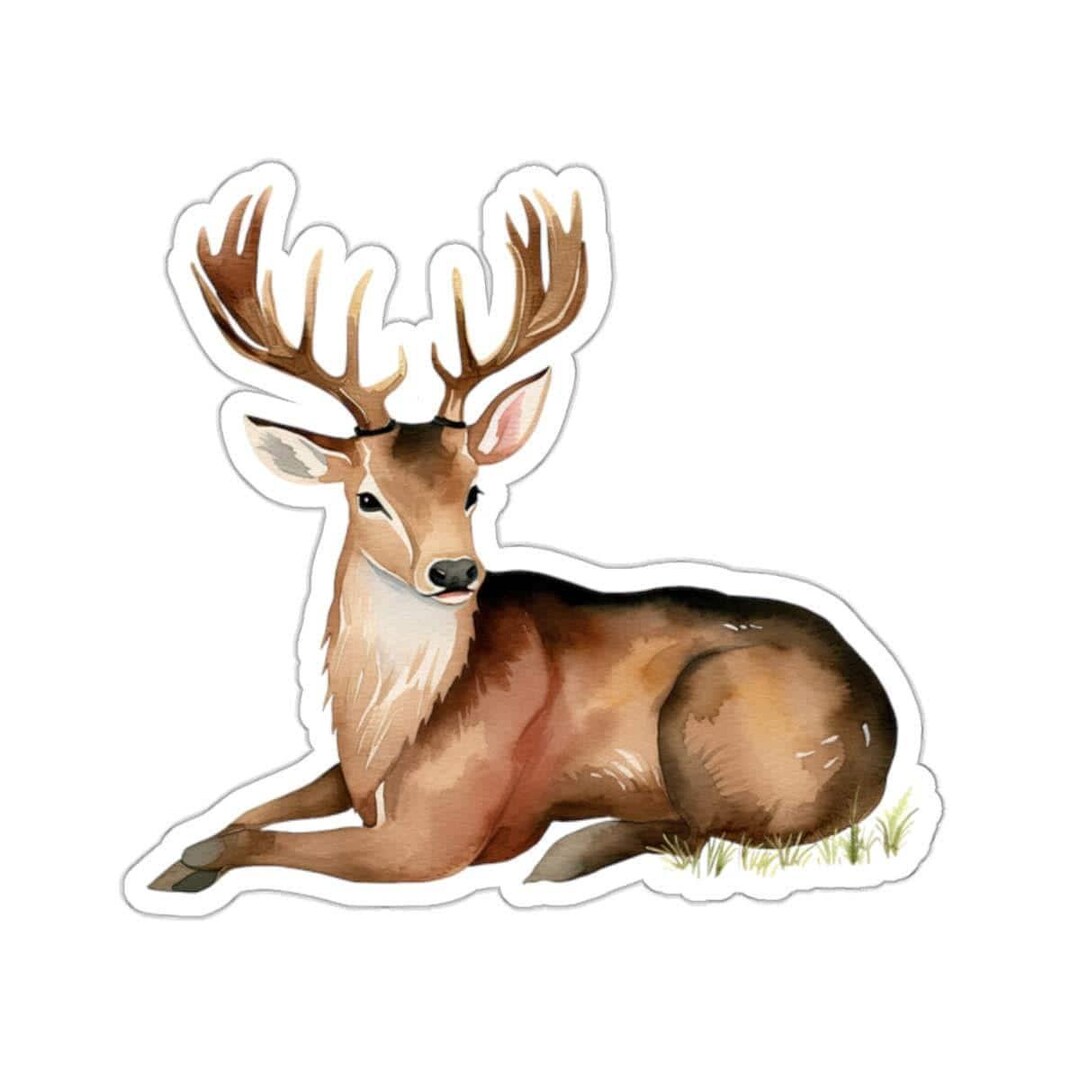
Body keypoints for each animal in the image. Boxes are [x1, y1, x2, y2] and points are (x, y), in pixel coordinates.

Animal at [148, 166, 897, 896]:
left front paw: (185, 865)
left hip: (708, 716)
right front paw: (172, 859)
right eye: (368, 499)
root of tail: (883, 733)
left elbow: (255, 837)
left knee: (707, 830)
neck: (386, 727)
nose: (455, 572)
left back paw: (564, 856)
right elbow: (252, 809)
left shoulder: (441, 832)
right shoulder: (351, 778)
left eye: (474, 491)